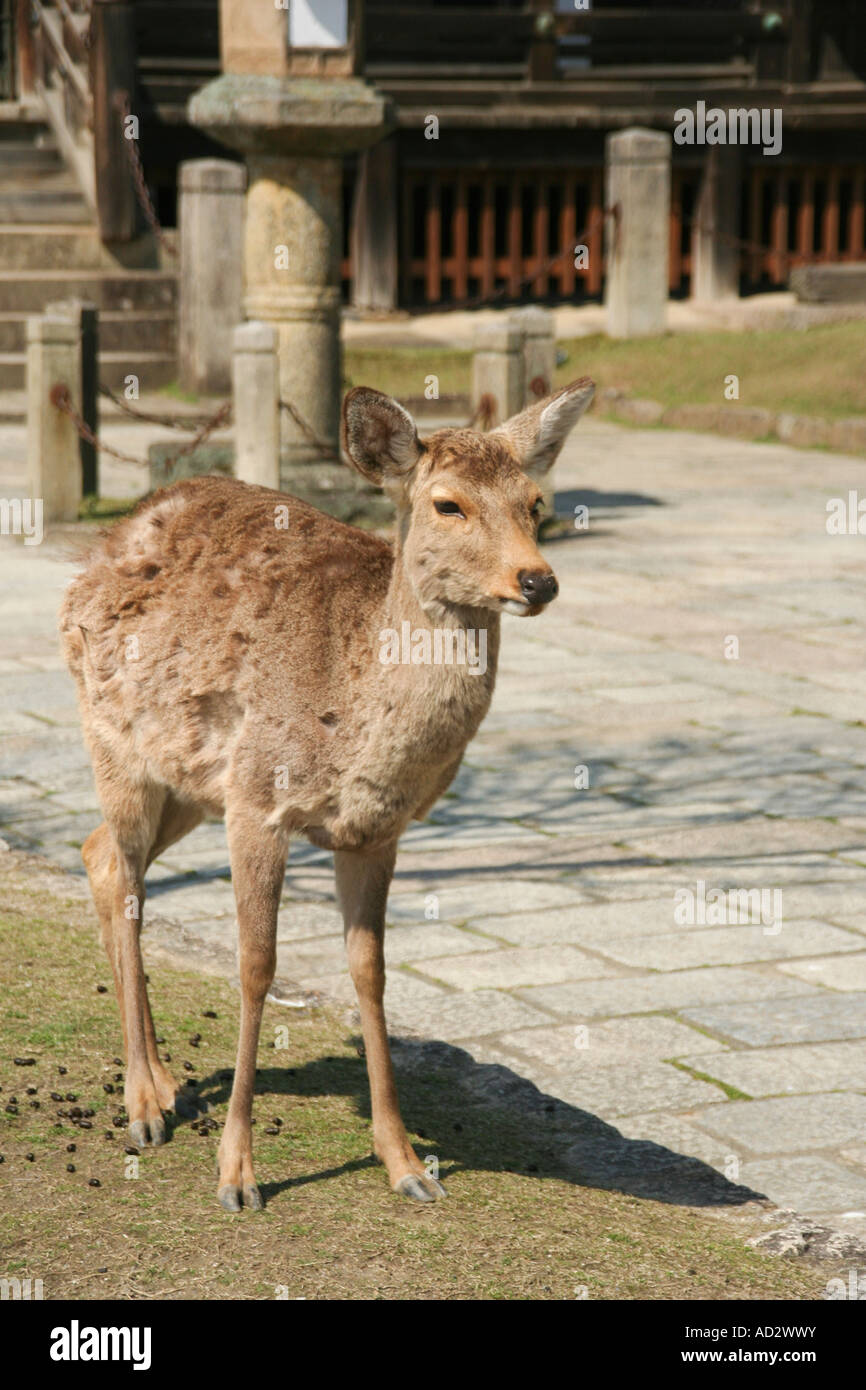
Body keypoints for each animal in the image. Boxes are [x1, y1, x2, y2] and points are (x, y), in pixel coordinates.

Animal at [59, 377, 595, 1212]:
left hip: (190, 781)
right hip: (115, 740)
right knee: (122, 876)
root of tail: (103, 546)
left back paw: (165, 1085)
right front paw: (238, 1176)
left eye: (536, 502)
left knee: (101, 857)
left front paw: (406, 1165)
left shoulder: (374, 831)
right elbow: (257, 967)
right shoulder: (258, 802)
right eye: (448, 504)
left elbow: (371, 973)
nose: (537, 580)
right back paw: (144, 1103)